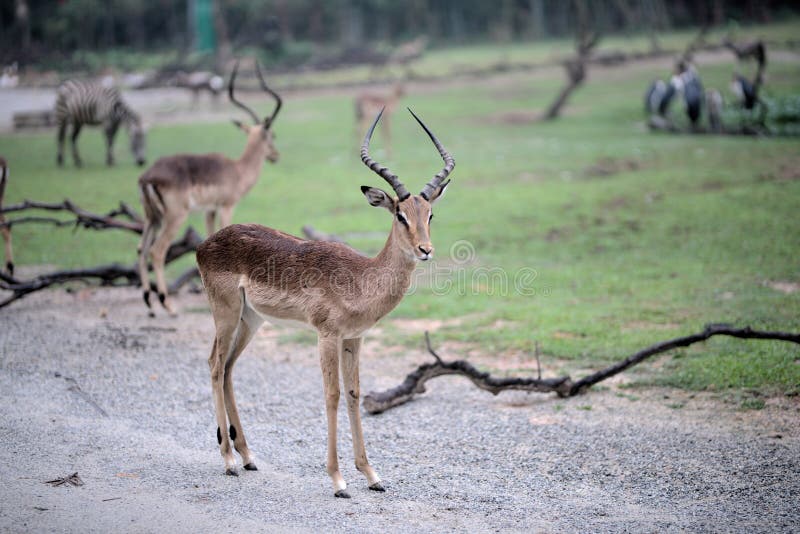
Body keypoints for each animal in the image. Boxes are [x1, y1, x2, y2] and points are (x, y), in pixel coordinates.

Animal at [137, 61, 282, 316]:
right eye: (271, 135)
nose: (276, 155)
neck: (237, 170)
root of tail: (148, 177)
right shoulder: (226, 206)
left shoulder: (209, 210)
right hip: (175, 217)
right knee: (157, 251)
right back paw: (168, 305)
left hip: (152, 218)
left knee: (141, 249)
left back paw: (149, 304)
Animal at [195, 107, 455, 498]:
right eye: (400, 215)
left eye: (430, 214)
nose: (425, 250)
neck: (361, 278)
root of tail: (205, 244)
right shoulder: (327, 335)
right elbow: (331, 394)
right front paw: (338, 480)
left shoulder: (354, 338)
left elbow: (354, 393)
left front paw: (372, 476)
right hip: (225, 313)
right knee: (214, 364)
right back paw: (228, 461)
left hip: (250, 320)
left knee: (228, 368)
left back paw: (248, 457)